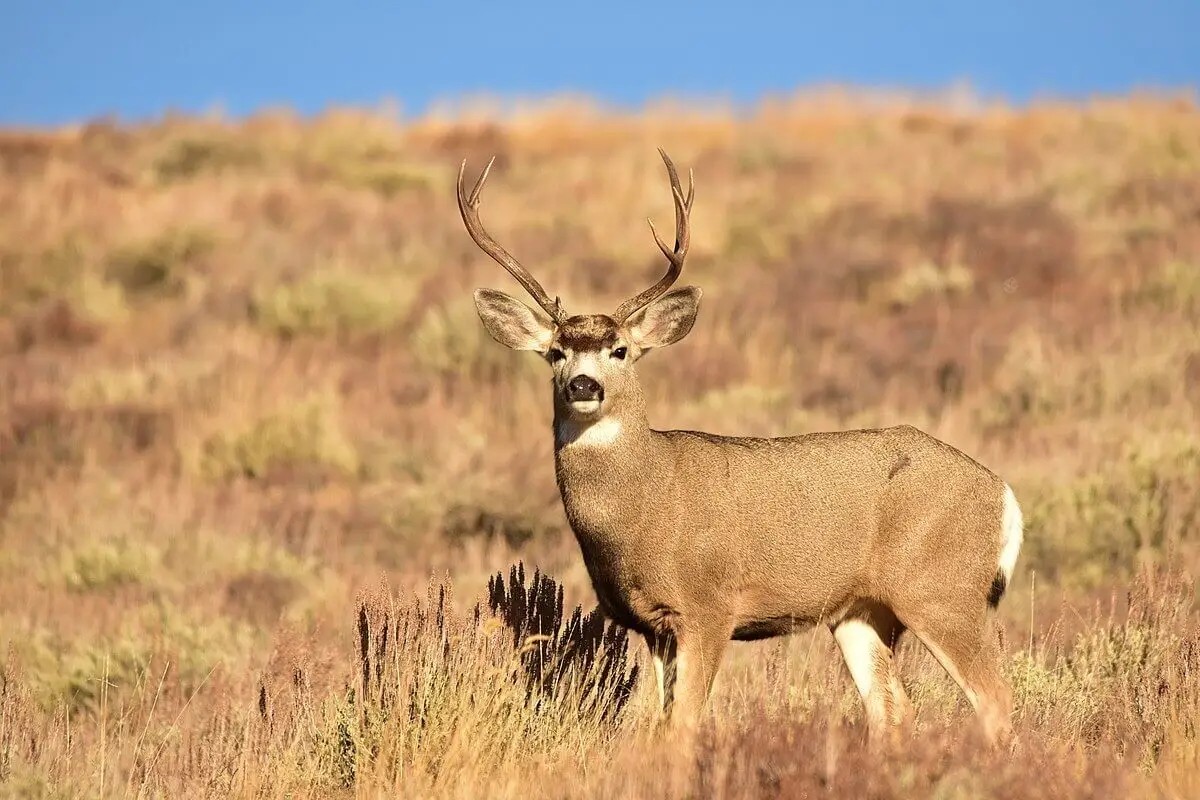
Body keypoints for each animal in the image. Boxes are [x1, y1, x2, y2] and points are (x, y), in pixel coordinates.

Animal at [457, 149, 1024, 744]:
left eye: (620, 350)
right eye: (556, 353)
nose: (583, 386)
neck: (646, 503)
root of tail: (1003, 492)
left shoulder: (709, 606)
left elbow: (683, 725)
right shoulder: (654, 624)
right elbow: (662, 722)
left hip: (941, 590)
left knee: (995, 701)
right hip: (862, 612)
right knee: (894, 710)